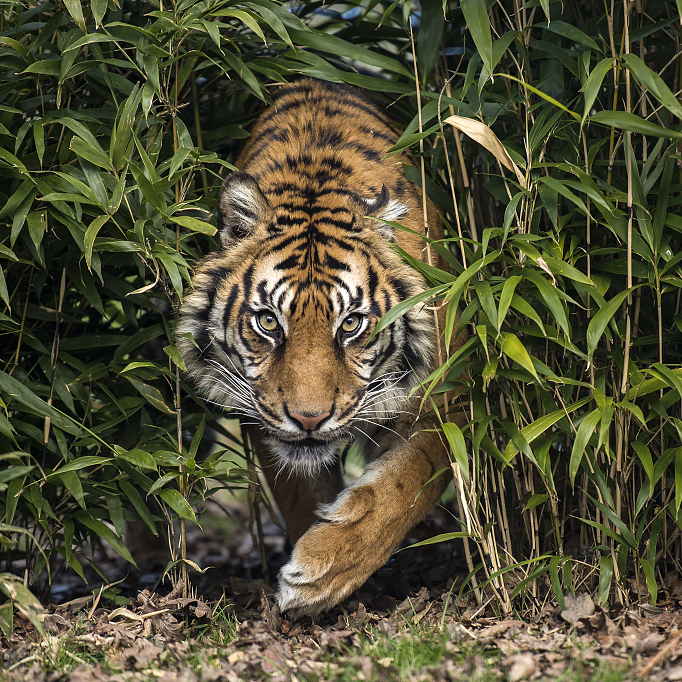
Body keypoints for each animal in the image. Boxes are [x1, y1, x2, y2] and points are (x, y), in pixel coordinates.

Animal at [176, 78, 466, 617]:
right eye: (268, 322)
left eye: (350, 324)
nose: (309, 419)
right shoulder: (260, 412)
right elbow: (299, 492)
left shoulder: (445, 395)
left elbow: (405, 485)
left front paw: (320, 574)